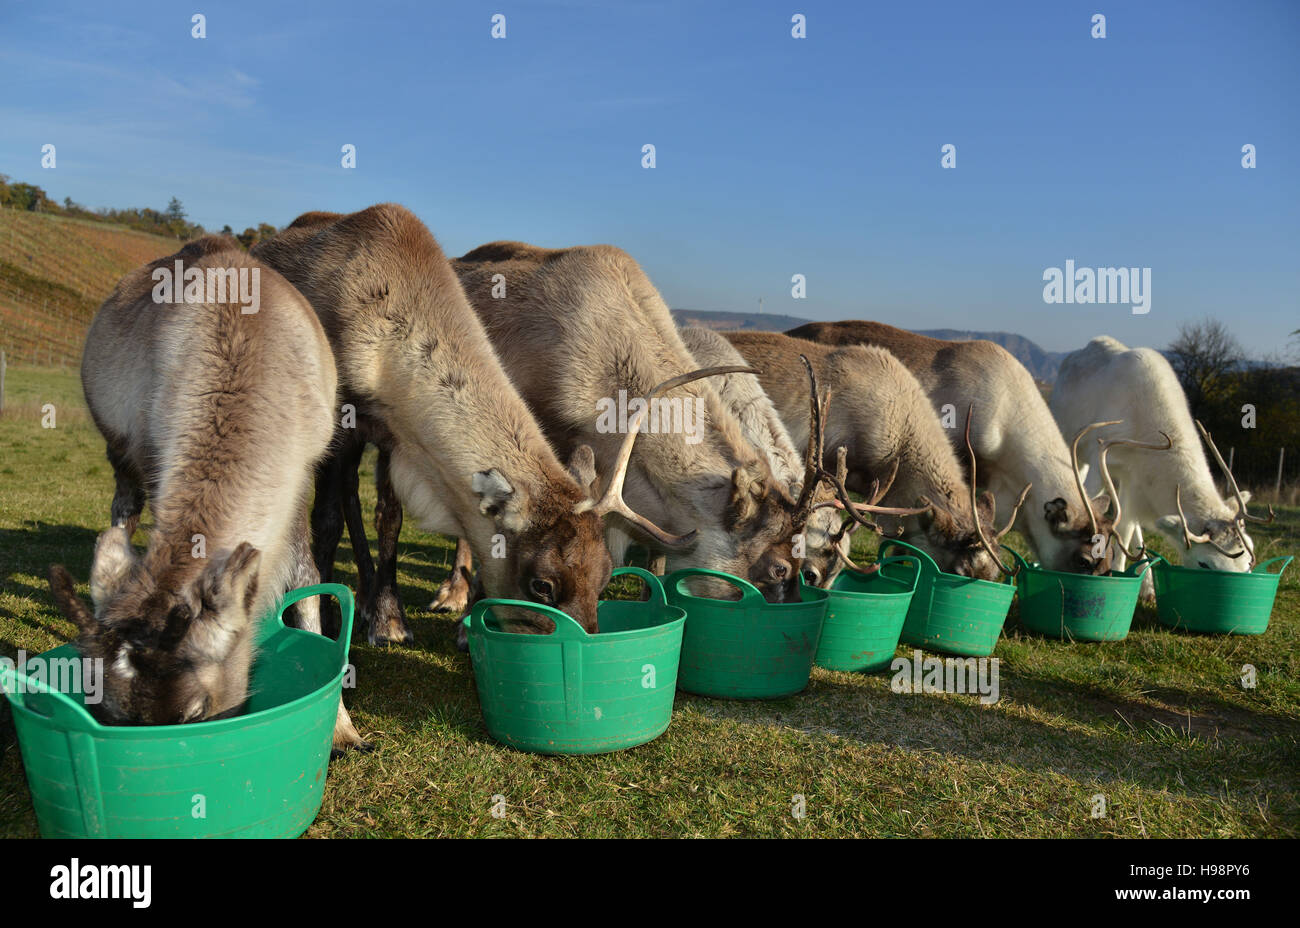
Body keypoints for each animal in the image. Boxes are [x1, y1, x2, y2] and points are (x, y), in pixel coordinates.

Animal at [46, 236, 365, 750]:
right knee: (123, 514)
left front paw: (343, 728)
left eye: (195, 712)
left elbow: (307, 579)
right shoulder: (156, 458)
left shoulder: (304, 472)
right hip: (120, 453)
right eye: (106, 713)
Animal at [251, 206, 705, 648]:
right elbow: (333, 520)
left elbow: (391, 517)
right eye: (542, 585)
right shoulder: (340, 427)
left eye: (605, 577)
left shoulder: (397, 436)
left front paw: (386, 614)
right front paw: (370, 621)